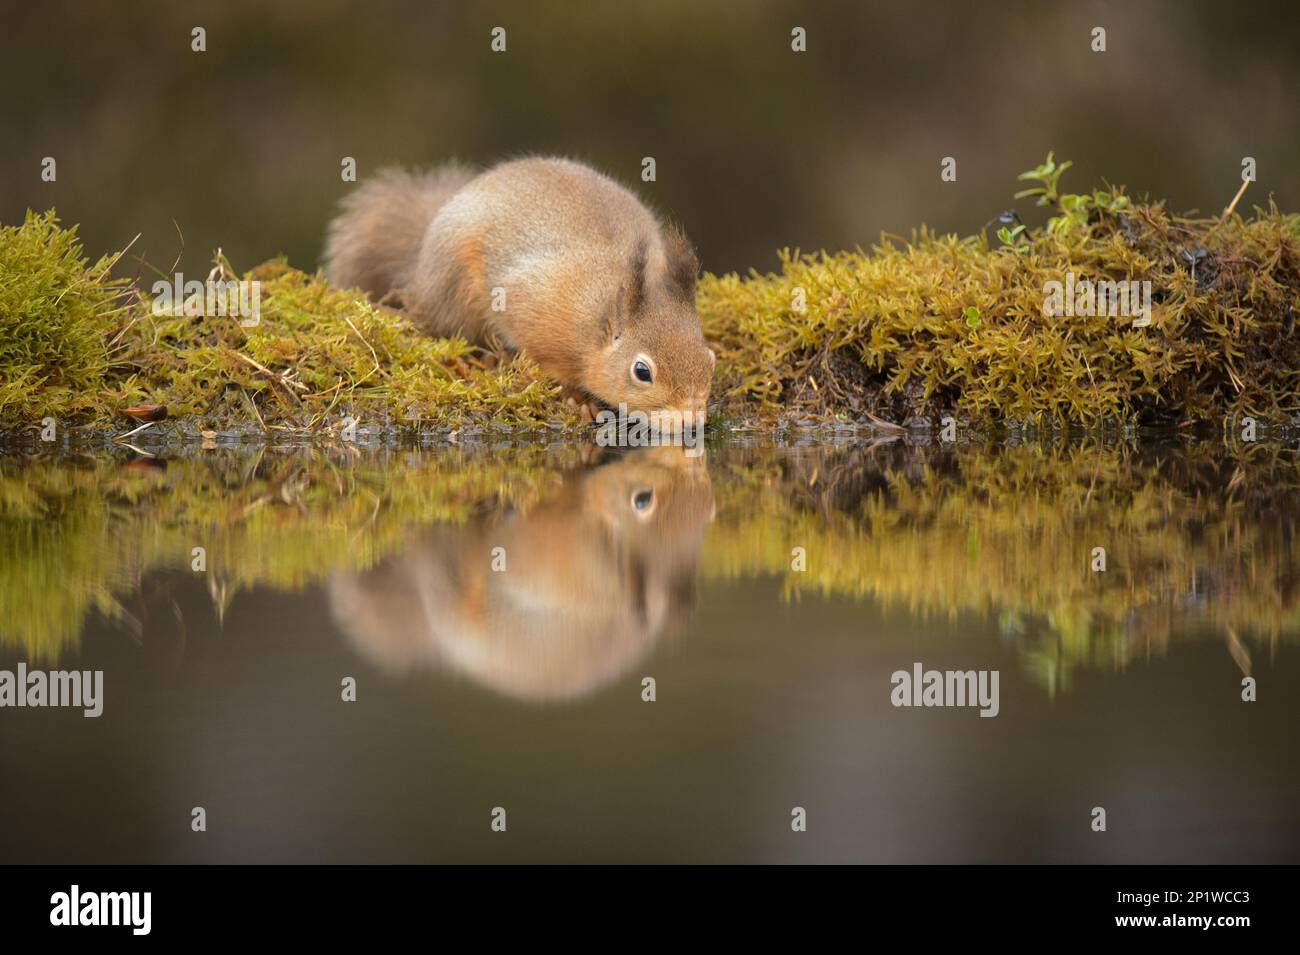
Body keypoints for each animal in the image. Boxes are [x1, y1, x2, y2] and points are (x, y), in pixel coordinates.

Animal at [323, 157, 715, 420]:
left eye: (710, 360)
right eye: (642, 372)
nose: (690, 422)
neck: (595, 317)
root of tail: (420, 265)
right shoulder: (533, 306)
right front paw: (576, 398)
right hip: (456, 287)